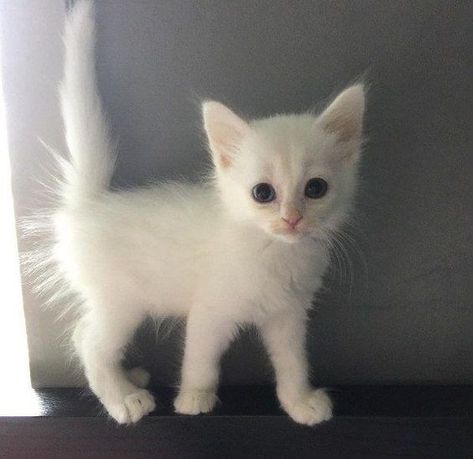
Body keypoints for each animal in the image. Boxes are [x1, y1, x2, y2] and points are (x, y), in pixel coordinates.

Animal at [41, 0, 366, 426]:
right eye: (263, 193)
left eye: (315, 189)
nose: (292, 218)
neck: (274, 252)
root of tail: (91, 203)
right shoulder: (210, 311)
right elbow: (200, 359)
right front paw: (194, 398)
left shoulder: (288, 316)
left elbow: (293, 362)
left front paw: (299, 401)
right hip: (120, 302)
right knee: (87, 342)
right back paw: (123, 399)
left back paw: (130, 377)